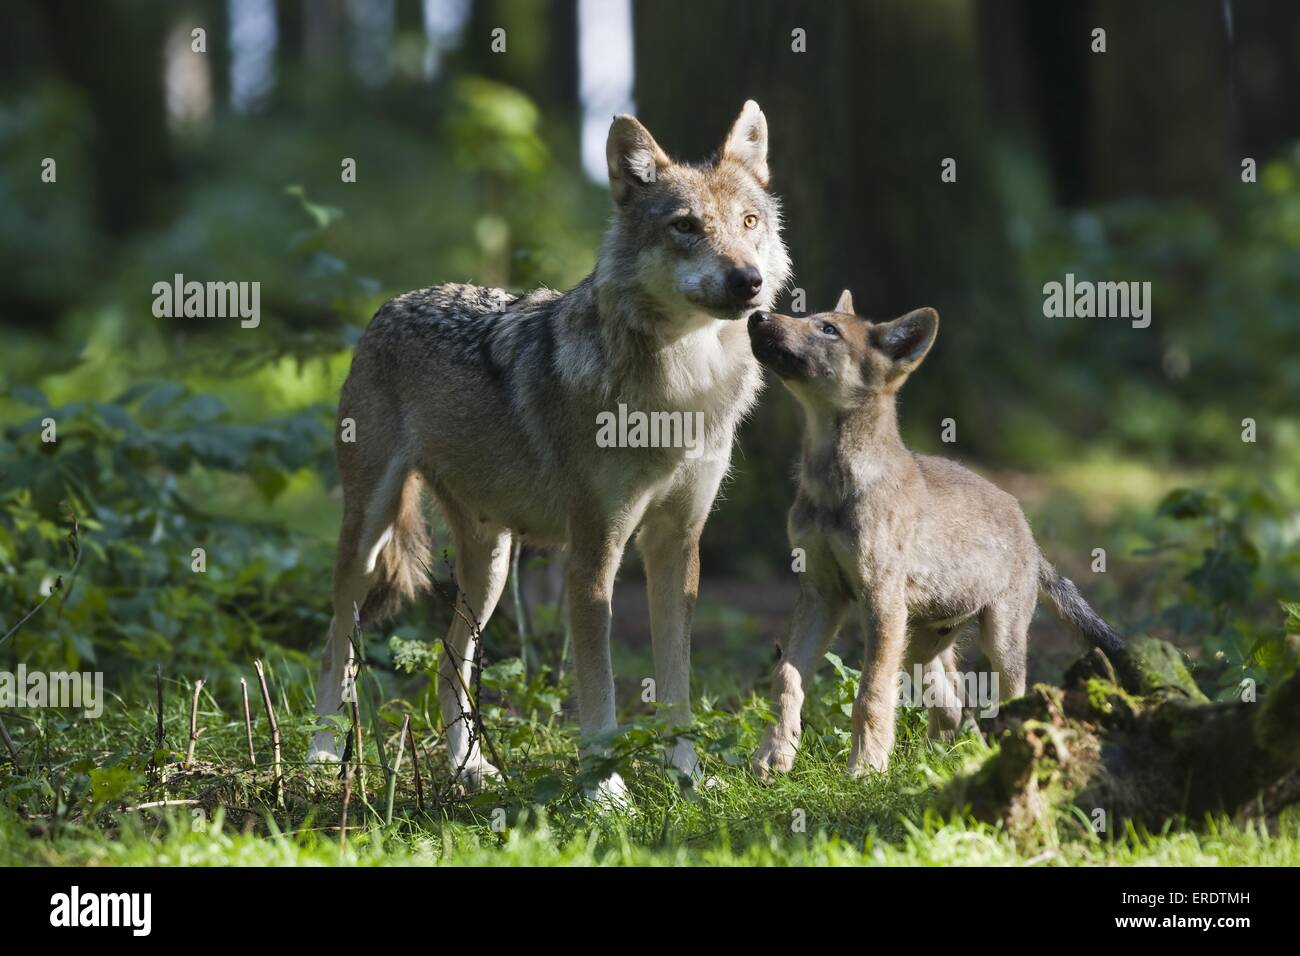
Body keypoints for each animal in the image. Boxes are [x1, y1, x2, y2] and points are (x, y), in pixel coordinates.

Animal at [309, 102, 790, 803]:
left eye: (749, 223)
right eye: (684, 226)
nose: (748, 281)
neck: (684, 384)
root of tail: (393, 303)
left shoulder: (676, 545)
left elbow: (676, 686)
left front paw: (687, 776)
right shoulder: (593, 554)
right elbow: (601, 689)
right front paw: (606, 792)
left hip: (490, 565)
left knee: (448, 666)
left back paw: (467, 769)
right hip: (369, 539)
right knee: (336, 646)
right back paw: (319, 758)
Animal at [747, 292, 1123, 780]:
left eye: (828, 330)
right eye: (806, 316)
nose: (757, 315)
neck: (832, 486)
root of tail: (1028, 530)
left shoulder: (879, 602)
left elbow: (869, 696)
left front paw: (865, 769)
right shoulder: (820, 595)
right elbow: (786, 680)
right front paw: (774, 756)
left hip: (997, 642)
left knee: (1004, 699)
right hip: (919, 646)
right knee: (953, 705)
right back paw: (941, 759)